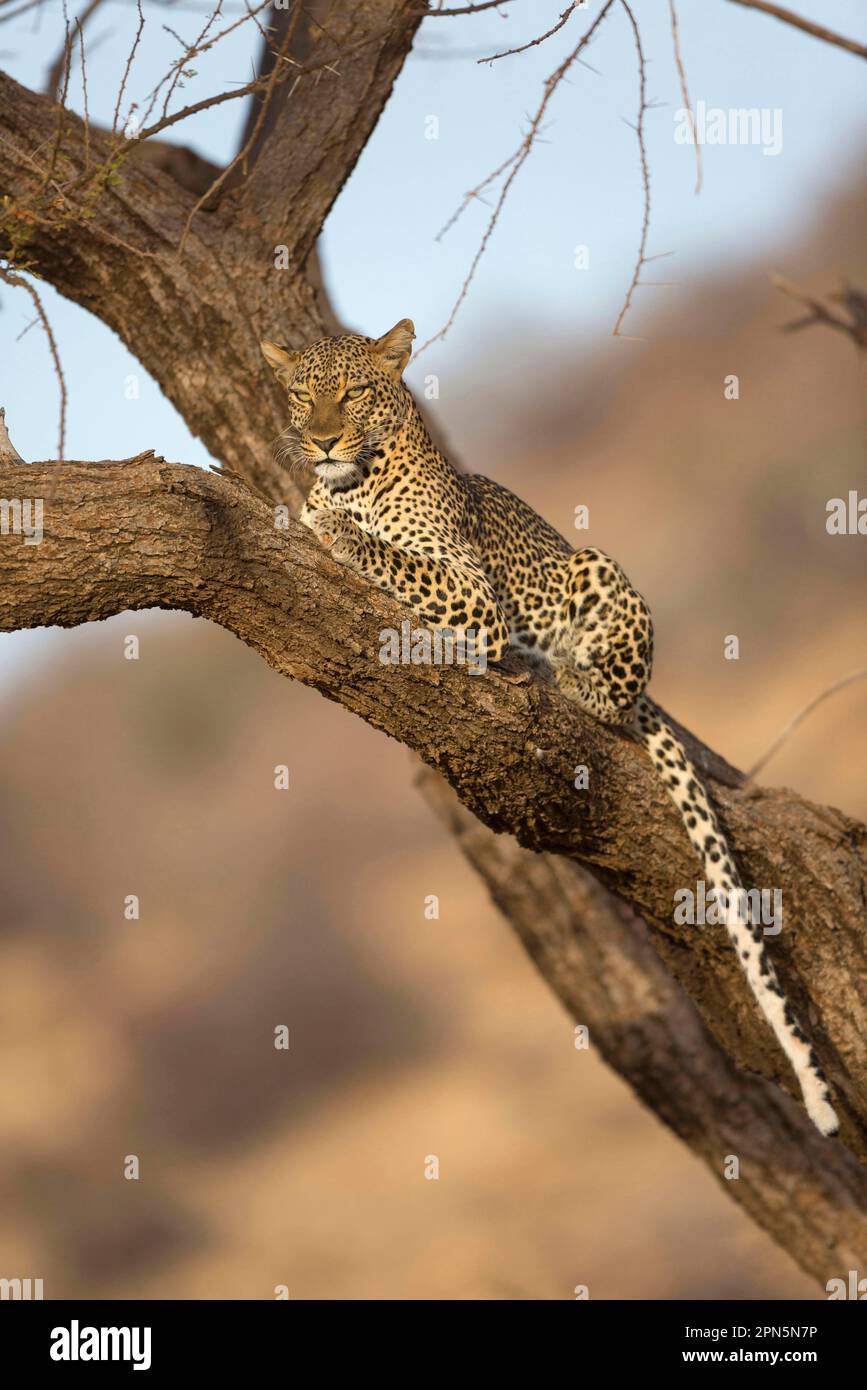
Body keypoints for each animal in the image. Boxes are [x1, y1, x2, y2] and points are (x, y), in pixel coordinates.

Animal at [261, 318, 839, 1138]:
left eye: (354, 393)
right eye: (302, 395)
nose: (320, 441)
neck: (358, 480)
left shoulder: (474, 595)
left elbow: (391, 556)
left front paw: (334, 527)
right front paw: (316, 508)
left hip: (596, 568)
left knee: (613, 696)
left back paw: (564, 677)